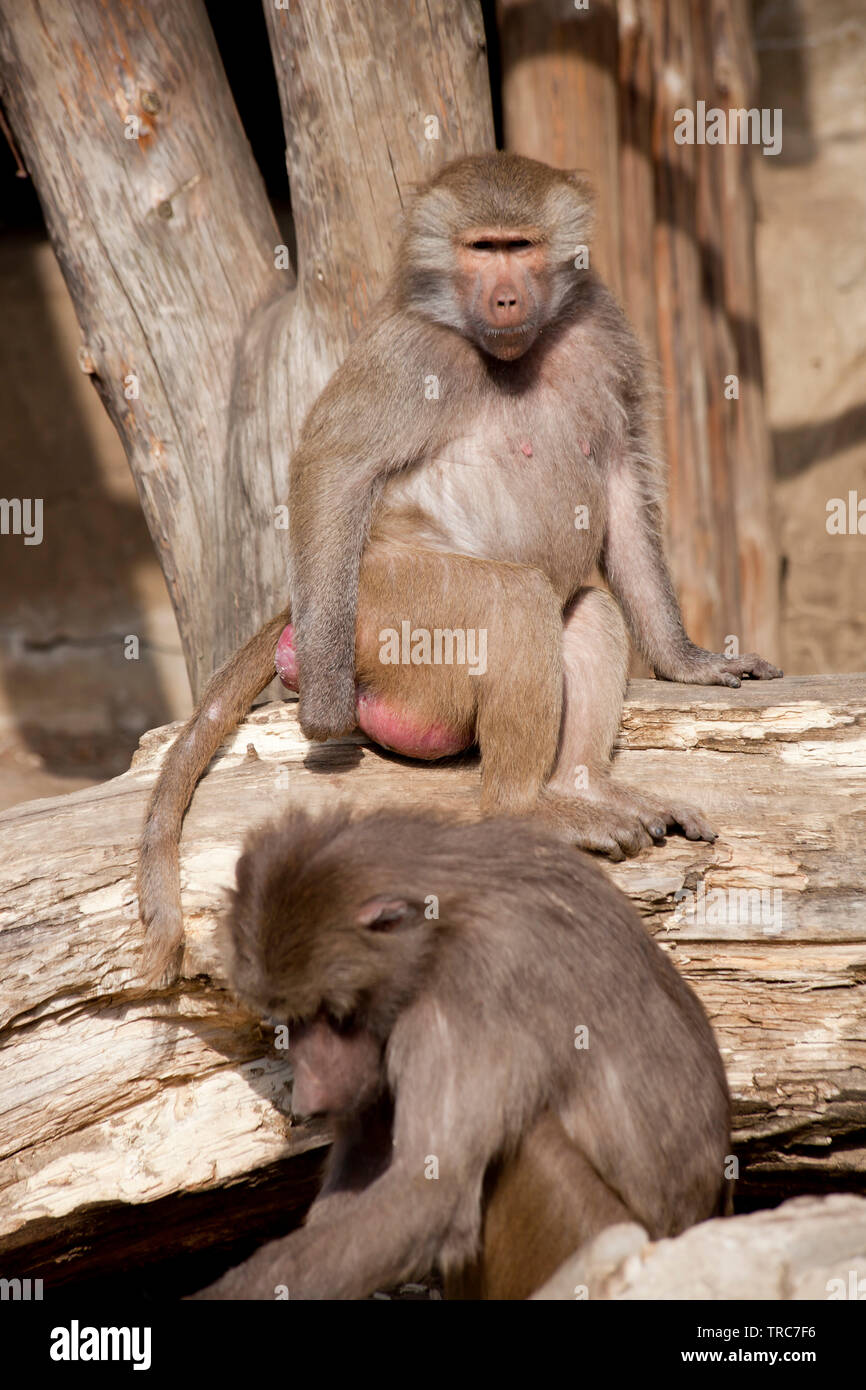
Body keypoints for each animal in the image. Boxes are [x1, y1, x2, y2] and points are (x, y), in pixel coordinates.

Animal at [138, 152, 781, 985]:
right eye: (480, 249)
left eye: (520, 246)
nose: (504, 297)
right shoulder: (411, 353)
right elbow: (334, 468)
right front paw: (322, 708)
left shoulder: (602, 327)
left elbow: (619, 478)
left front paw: (690, 660)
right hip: (383, 608)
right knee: (513, 599)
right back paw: (524, 808)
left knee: (586, 611)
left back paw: (576, 790)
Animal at [191, 806, 732, 1301]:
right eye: (289, 1022)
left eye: (333, 1015)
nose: (310, 1100)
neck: (446, 920)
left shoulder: (465, 1003)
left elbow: (430, 1193)